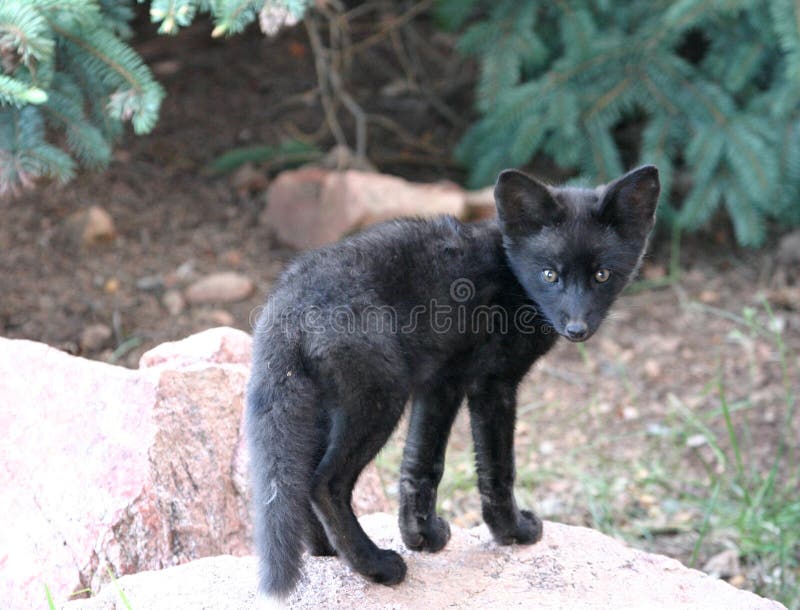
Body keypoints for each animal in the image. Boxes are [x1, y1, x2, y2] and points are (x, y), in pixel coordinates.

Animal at [246, 165, 660, 603]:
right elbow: (498, 470)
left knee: (298, 482)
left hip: (328, 410)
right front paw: (512, 532)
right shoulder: (492, 385)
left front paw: (422, 535)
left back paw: (326, 550)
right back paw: (374, 565)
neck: (511, 277)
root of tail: (288, 300)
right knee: (323, 484)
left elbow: (422, 466)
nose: (577, 329)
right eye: (550, 274)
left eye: (601, 275)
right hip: (380, 402)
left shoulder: (441, 383)